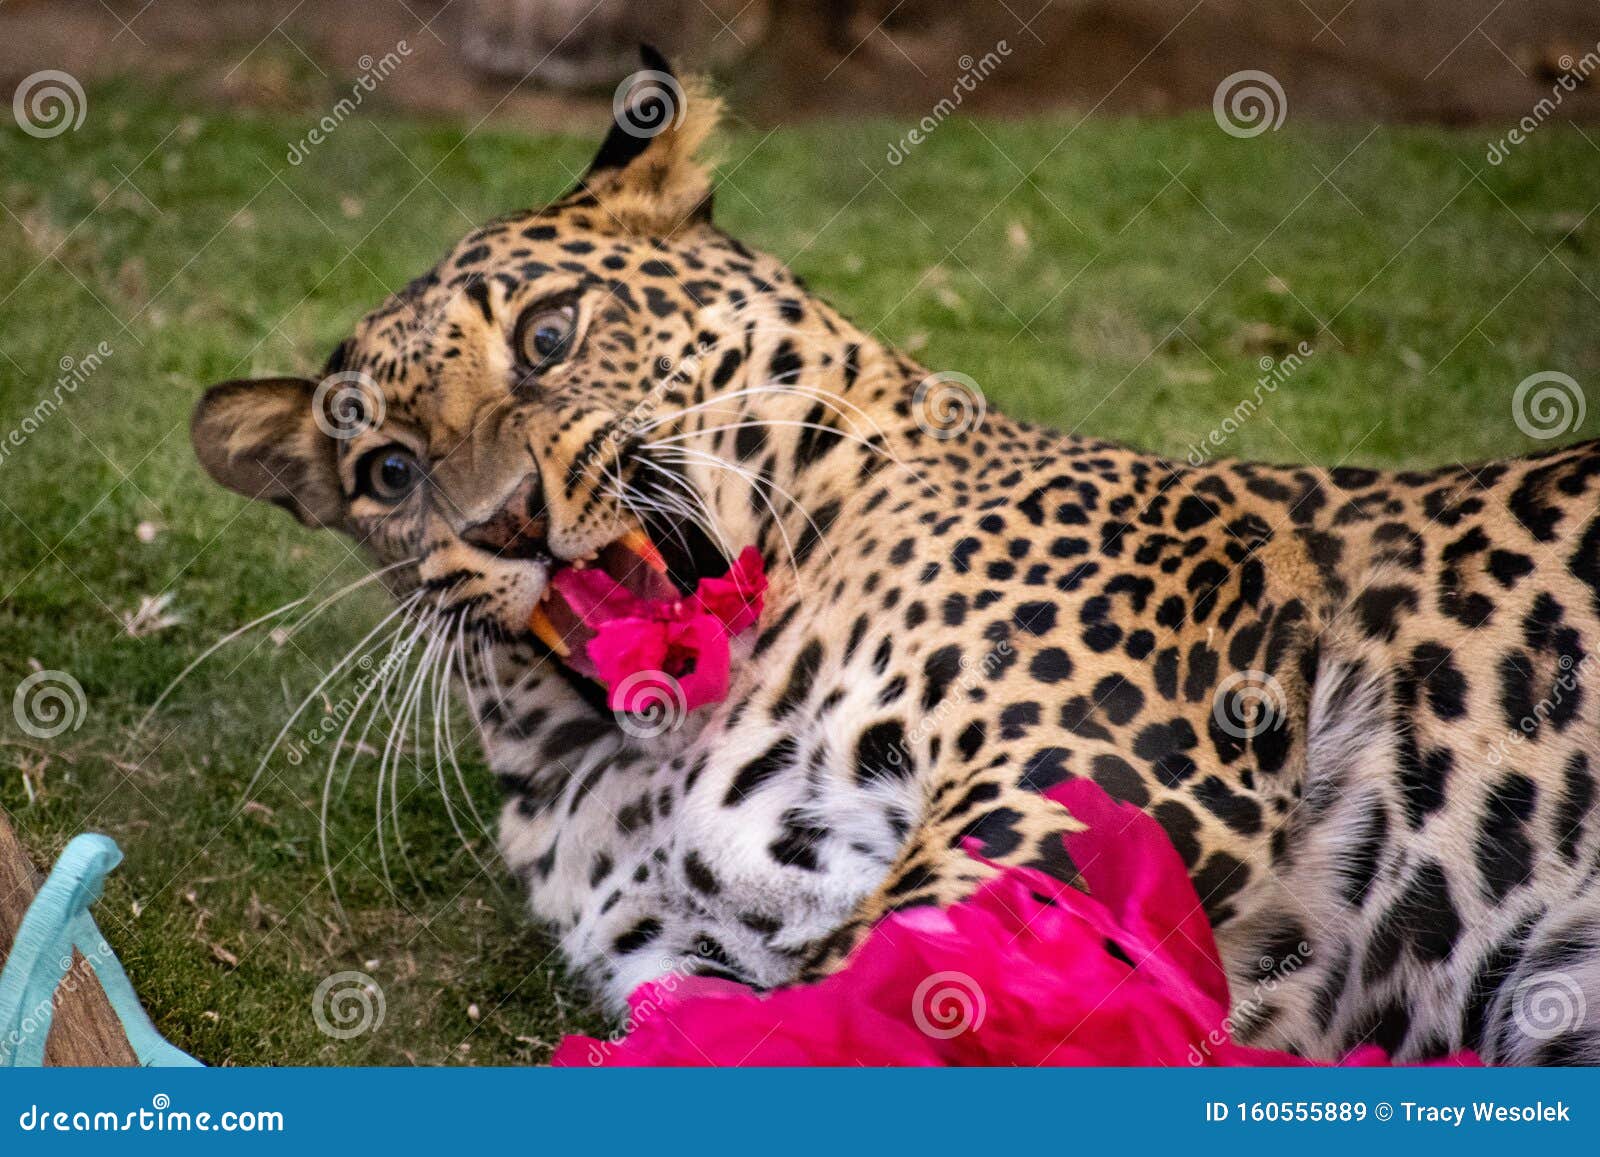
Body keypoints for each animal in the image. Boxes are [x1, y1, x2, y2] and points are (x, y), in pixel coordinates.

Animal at [191, 58, 1600, 1065]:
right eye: (387, 473)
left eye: (547, 333)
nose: (503, 519)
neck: (646, 756)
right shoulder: (684, 958)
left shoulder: (1077, 775)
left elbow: (872, 983)